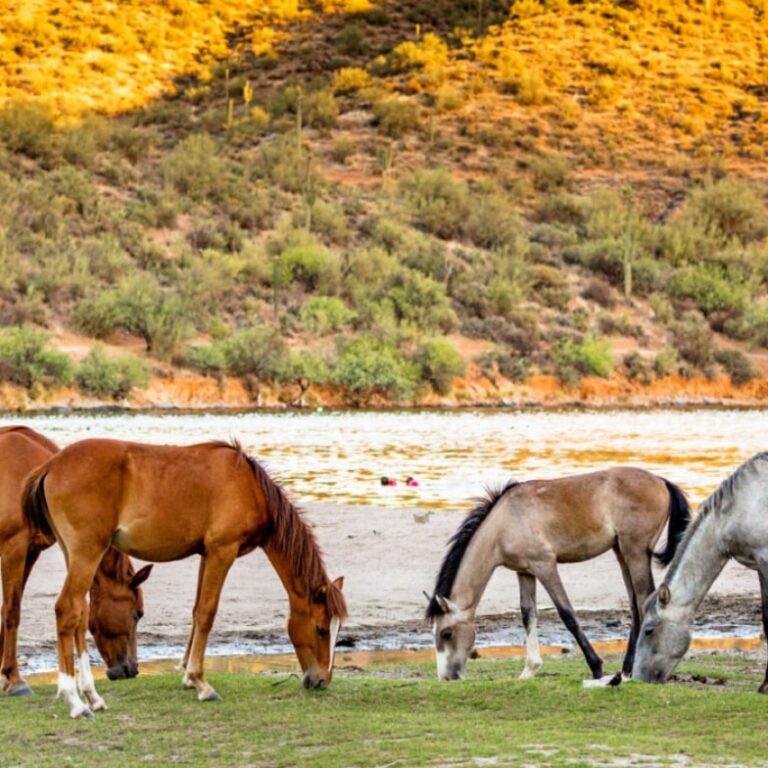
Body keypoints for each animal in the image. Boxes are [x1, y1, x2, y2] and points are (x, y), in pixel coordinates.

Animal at [0, 426, 151, 696]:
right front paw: (15, 680)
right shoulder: (13, 549)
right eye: (138, 613)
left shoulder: (30, 553)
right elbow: (11, 611)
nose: (131, 669)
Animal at [23, 437, 347, 719]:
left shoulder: (206, 554)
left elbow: (195, 611)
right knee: (67, 610)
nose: (322, 680)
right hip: (87, 553)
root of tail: (52, 465)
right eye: (320, 629)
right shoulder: (222, 551)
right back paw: (75, 701)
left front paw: (189, 678)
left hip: (75, 555)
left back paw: (92, 696)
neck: (249, 486)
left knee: (80, 615)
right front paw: (201, 683)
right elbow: (207, 613)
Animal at [426, 467, 691, 684]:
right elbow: (528, 614)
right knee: (636, 607)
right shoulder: (525, 572)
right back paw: (625, 671)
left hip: (635, 553)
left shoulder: (545, 566)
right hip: (622, 553)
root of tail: (660, 481)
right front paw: (529, 670)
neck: (504, 522)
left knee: (645, 602)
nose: (445, 677)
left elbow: (567, 614)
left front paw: (596, 668)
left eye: (446, 633)